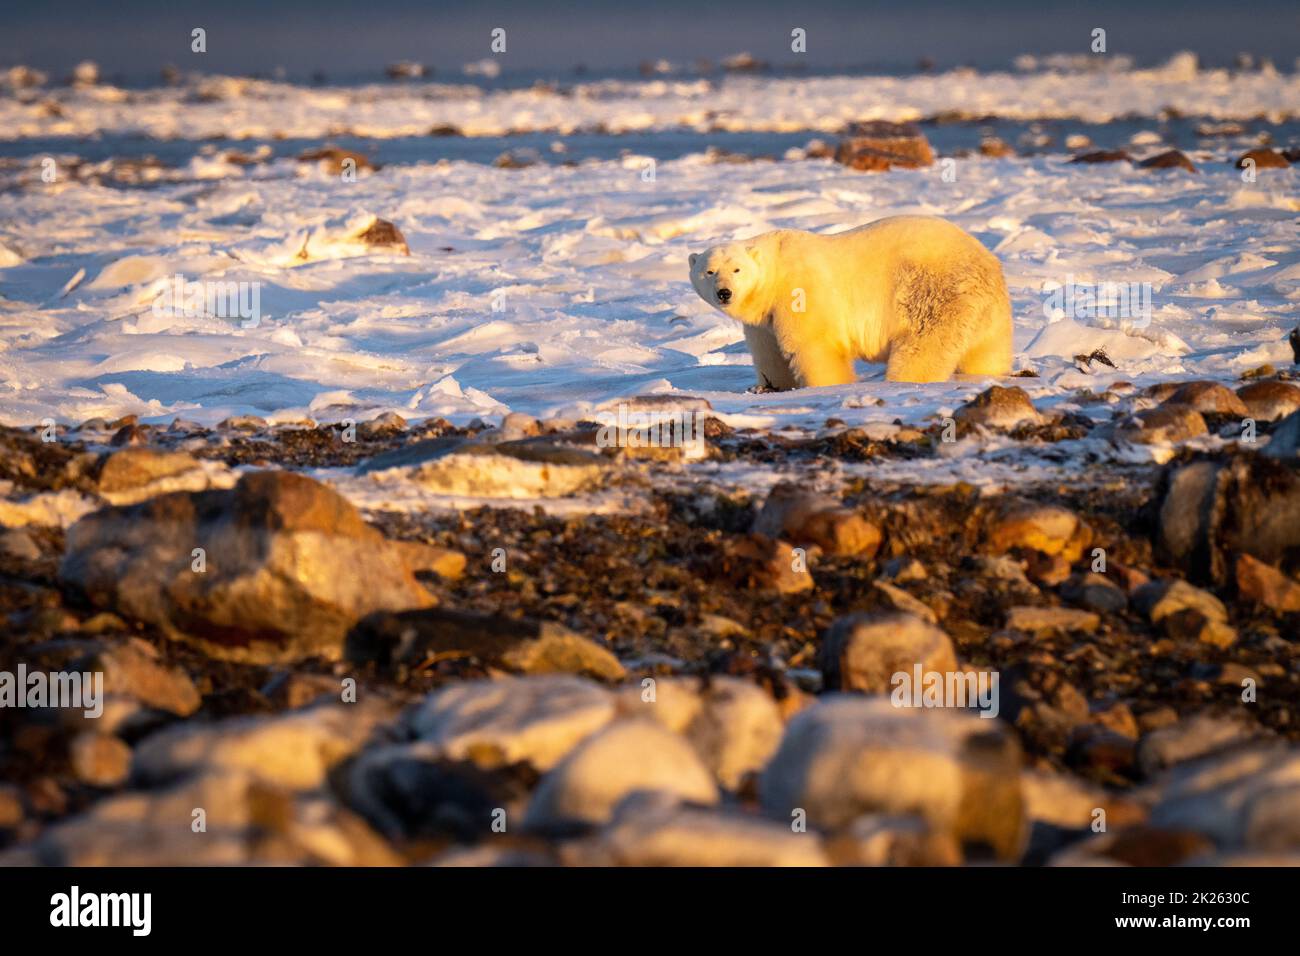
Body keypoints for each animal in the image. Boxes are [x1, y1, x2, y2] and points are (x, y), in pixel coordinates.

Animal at [688, 216, 1013, 389]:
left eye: (737, 269)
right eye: (709, 271)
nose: (724, 292)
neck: (776, 270)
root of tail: (987, 262)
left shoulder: (801, 291)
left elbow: (813, 347)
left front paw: (826, 387)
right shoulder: (765, 320)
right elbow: (771, 354)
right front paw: (774, 386)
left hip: (931, 292)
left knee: (923, 347)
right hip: (990, 313)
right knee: (985, 351)